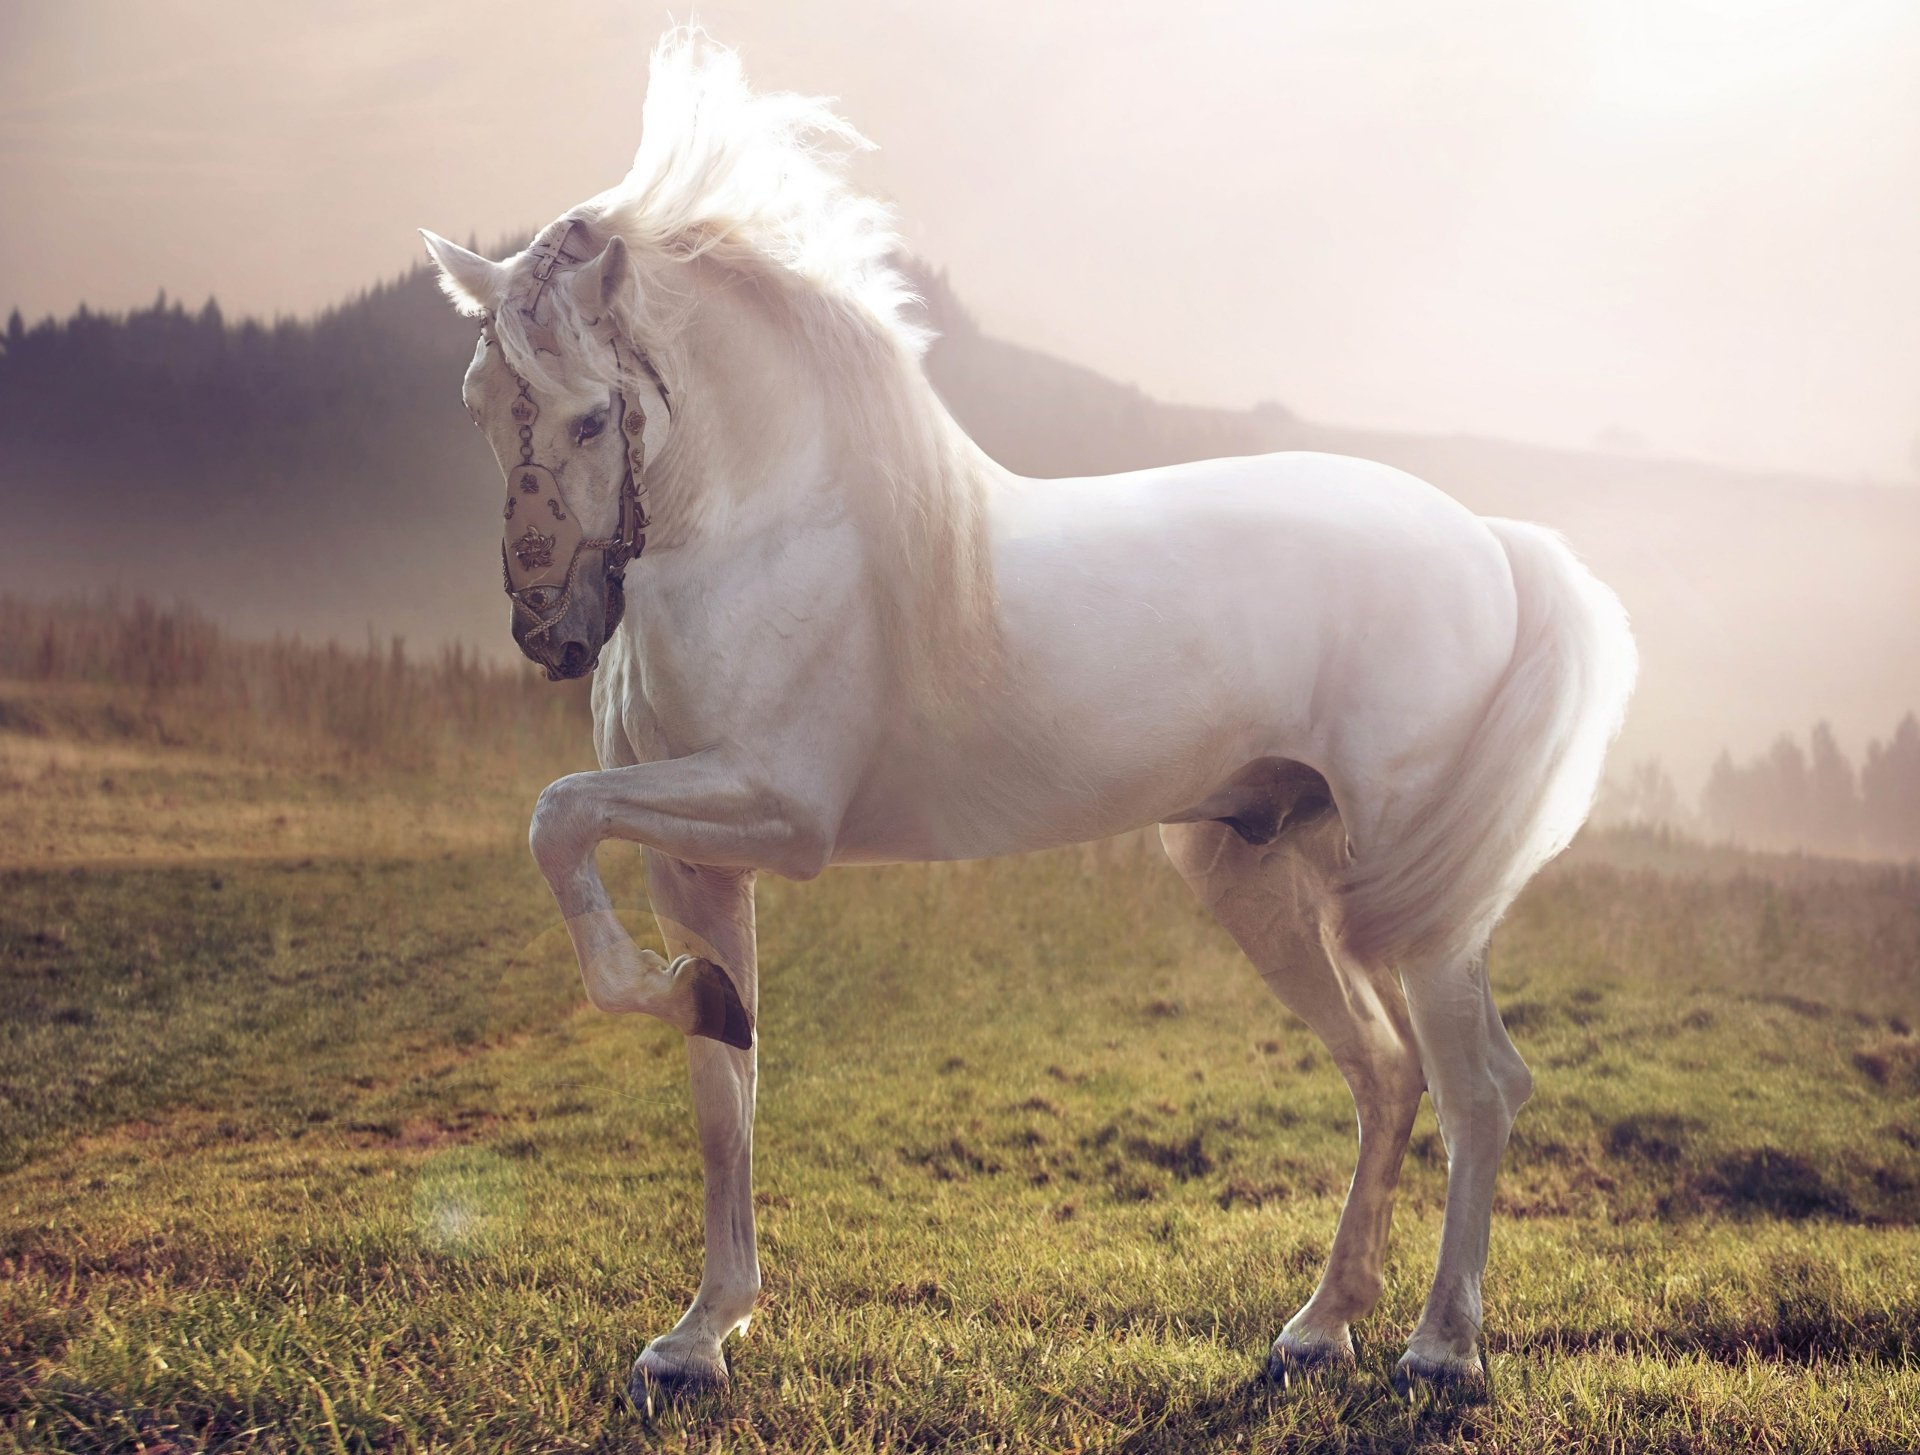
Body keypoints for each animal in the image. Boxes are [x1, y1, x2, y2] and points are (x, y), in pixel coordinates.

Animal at [419, 29, 1636, 1403]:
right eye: (478, 404)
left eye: (588, 414)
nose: (551, 634)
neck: (768, 524)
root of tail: (1489, 540)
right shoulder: (698, 859)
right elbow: (722, 1088)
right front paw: (700, 1330)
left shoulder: (776, 812)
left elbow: (557, 818)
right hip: (1265, 876)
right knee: (1387, 1072)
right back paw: (1320, 1327)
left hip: (1417, 913)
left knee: (1480, 1086)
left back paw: (1441, 1348)